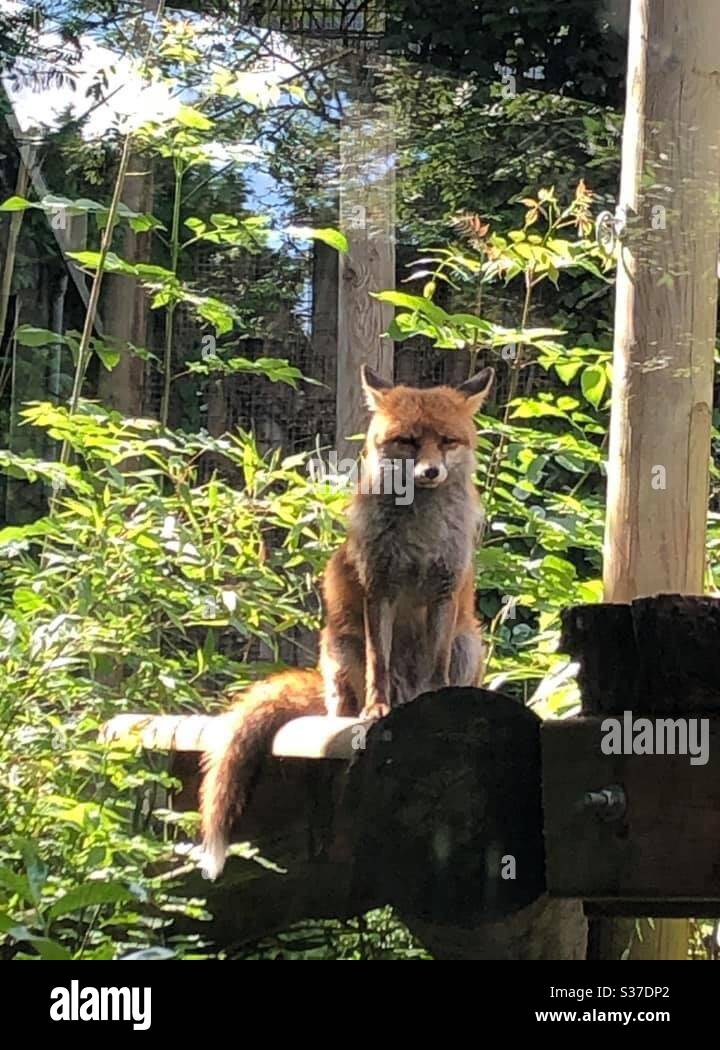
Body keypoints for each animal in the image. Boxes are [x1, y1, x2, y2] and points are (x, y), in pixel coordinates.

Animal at [200, 364, 494, 879]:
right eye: (408, 442)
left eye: (447, 441)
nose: (431, 472)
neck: (420, 531)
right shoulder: (379, 589)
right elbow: (380, 664)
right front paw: (377, 709)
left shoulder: (443, 591)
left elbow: (436, 668)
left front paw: (438, 700)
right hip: (342, 649)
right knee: (338, 710)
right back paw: (356, 715)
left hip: (467, 643)